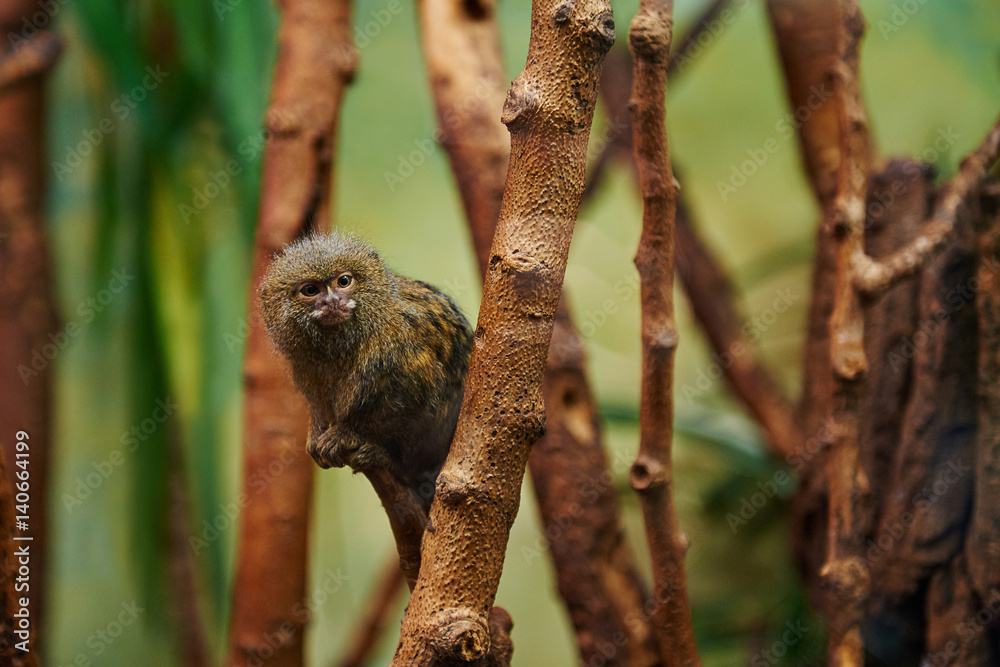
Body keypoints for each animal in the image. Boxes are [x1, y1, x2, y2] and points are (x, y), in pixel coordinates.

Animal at [258, 232, 473, 510]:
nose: (333, 301)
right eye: (310, 290)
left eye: (344, 281)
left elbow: (413, 402)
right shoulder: (306, 366)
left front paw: (347, 433)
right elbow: (319, 402)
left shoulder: (402, 347)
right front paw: (317, 432)